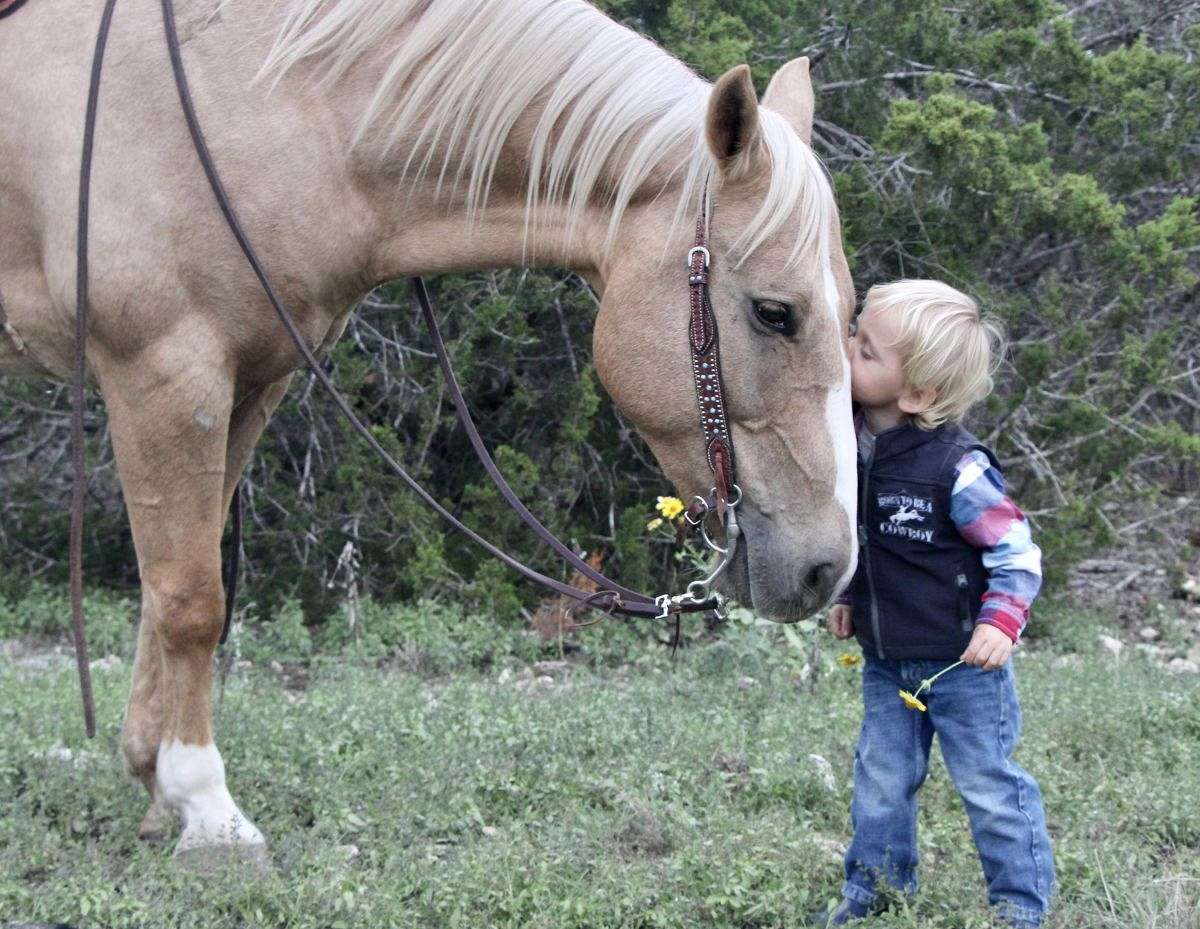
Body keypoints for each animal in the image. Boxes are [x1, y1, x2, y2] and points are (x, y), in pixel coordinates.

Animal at [0, 0, 858, 870]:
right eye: (775, 312)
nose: (828, 566)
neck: (260, 102)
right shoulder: (167, 373)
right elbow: (190, 600)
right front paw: (208, 809)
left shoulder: (245, 385)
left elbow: (176, 584)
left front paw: (155, 783)